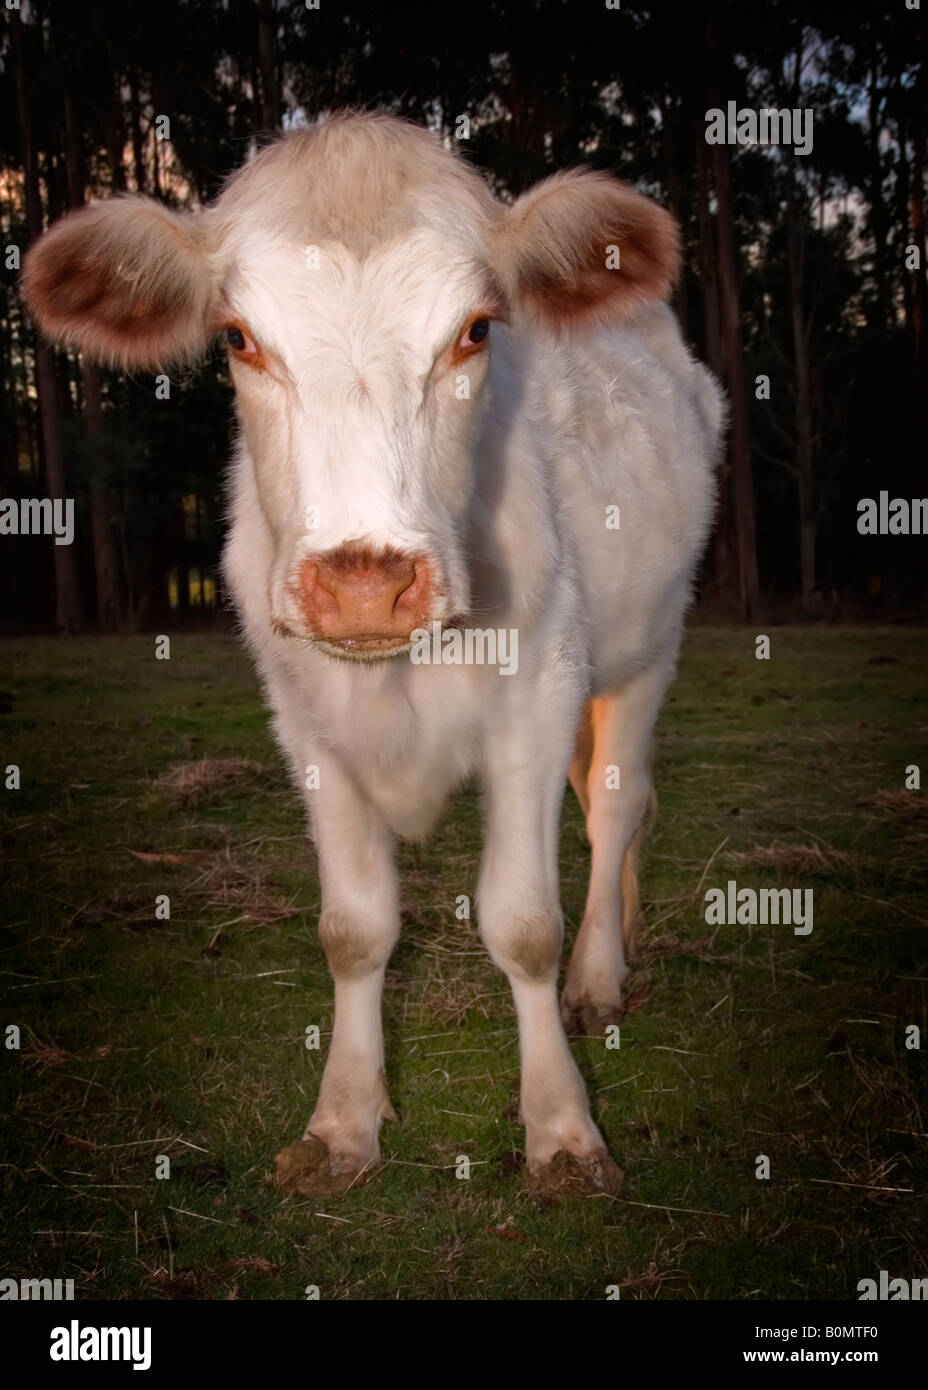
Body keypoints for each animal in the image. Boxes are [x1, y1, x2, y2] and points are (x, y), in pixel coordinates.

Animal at [23, 112, 722, 1199]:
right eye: (237, 337)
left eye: (477, 328)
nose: (362, 581)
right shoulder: (306, 722)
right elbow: (353, 930)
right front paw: (343, 1122)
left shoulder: (538, 697)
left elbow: (523, 922)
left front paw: (563, 1129)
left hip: (647, 647)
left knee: (613, 804)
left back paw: (599, 974)